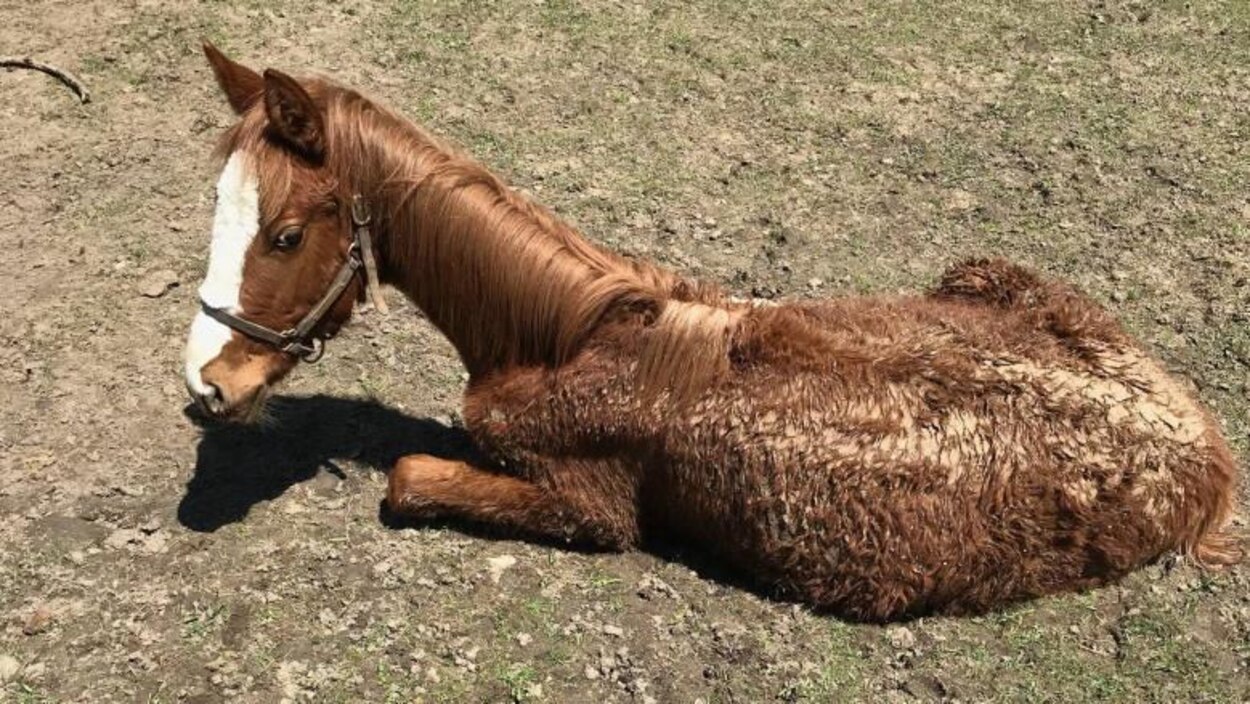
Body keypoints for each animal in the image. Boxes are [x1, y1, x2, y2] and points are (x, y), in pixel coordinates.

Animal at [183, 43, 1241, 621]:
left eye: (285, 234)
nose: (209, 388)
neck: (572, 338)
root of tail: (1206, 452)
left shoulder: (589, 507)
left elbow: (406, 477)